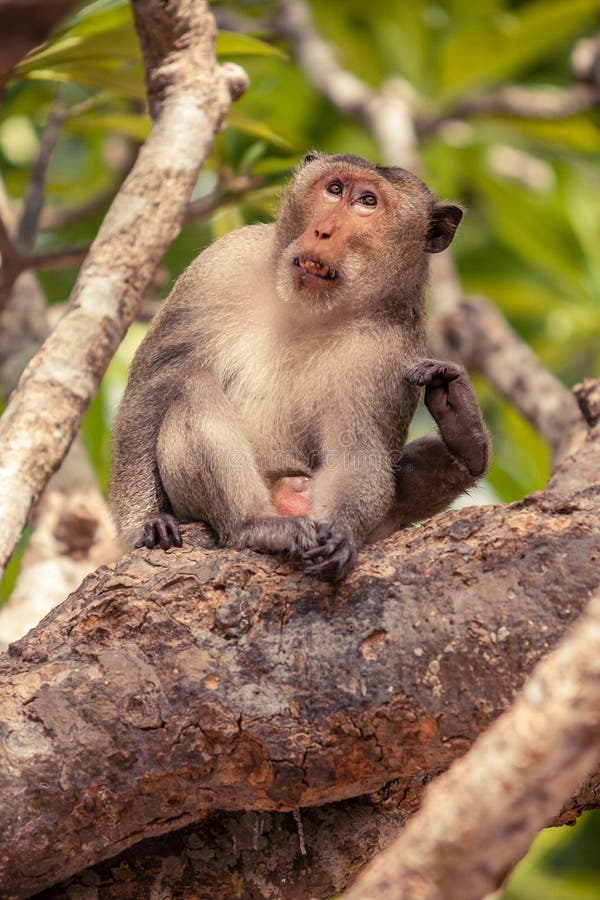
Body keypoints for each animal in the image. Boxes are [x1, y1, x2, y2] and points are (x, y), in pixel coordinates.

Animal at [111, 152, 490, 581]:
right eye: (335, 189)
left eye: (367, 202)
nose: (323, 231)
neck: (308, 310)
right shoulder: (218, 268)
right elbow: (153, 387)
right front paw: (147, 521)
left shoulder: (391, 350)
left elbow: (358, 445)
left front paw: (341, 534)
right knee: (192, 388)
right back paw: (254, 525)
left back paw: (466, 438)